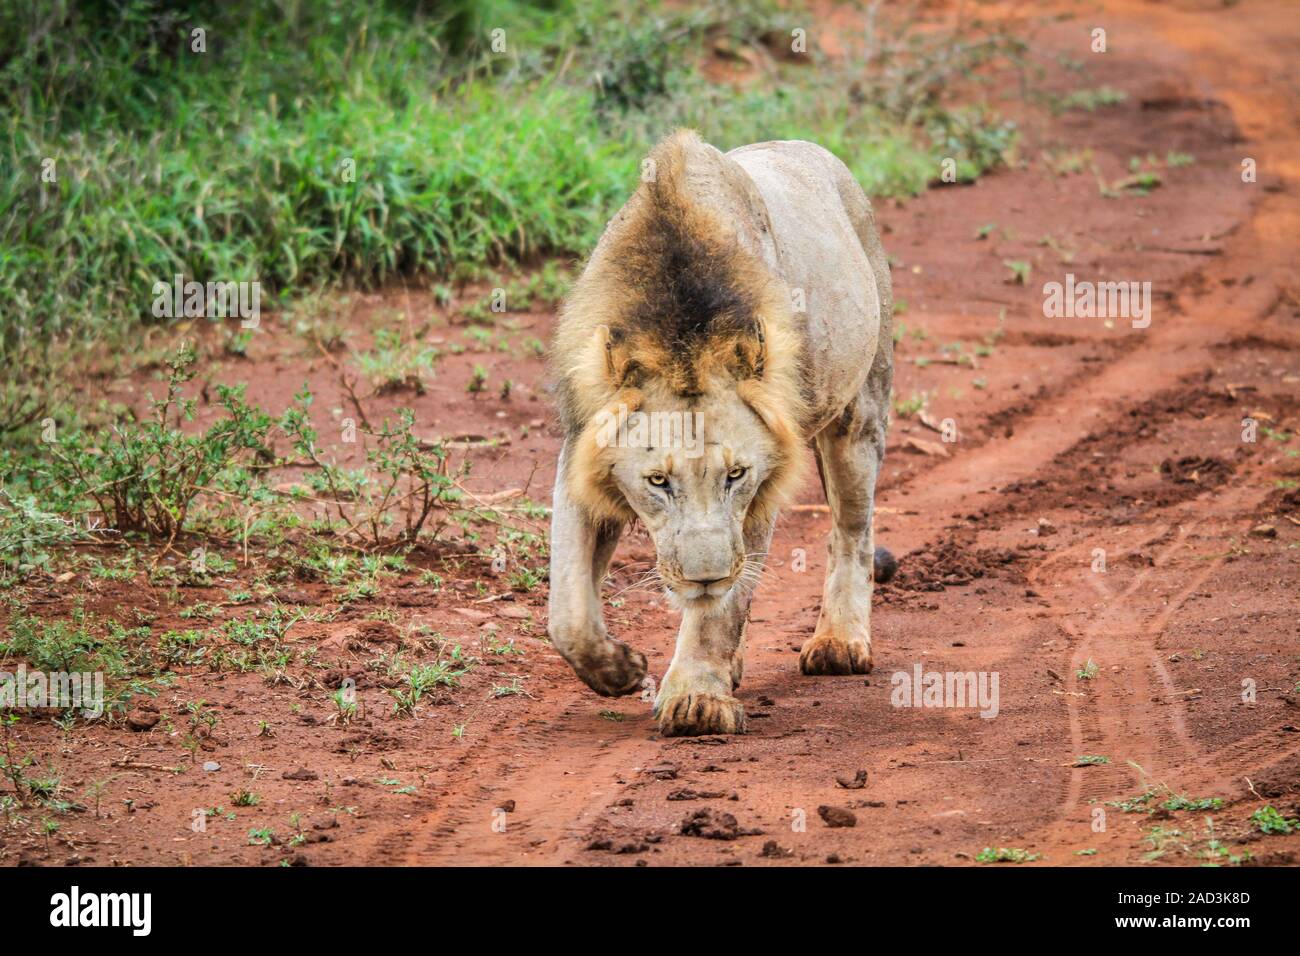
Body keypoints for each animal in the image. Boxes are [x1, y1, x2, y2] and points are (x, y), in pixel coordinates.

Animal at [548, 130, 894, 737]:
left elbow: (717, 611)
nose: (705, 577)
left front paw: (696, 700)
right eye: (657, 481)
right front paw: (619, 669)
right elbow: (566, 609)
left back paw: (839, 642)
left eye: (735, 473)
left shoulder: (759, 490)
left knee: (851, 532)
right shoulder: (580, 453)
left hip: (860, 411)